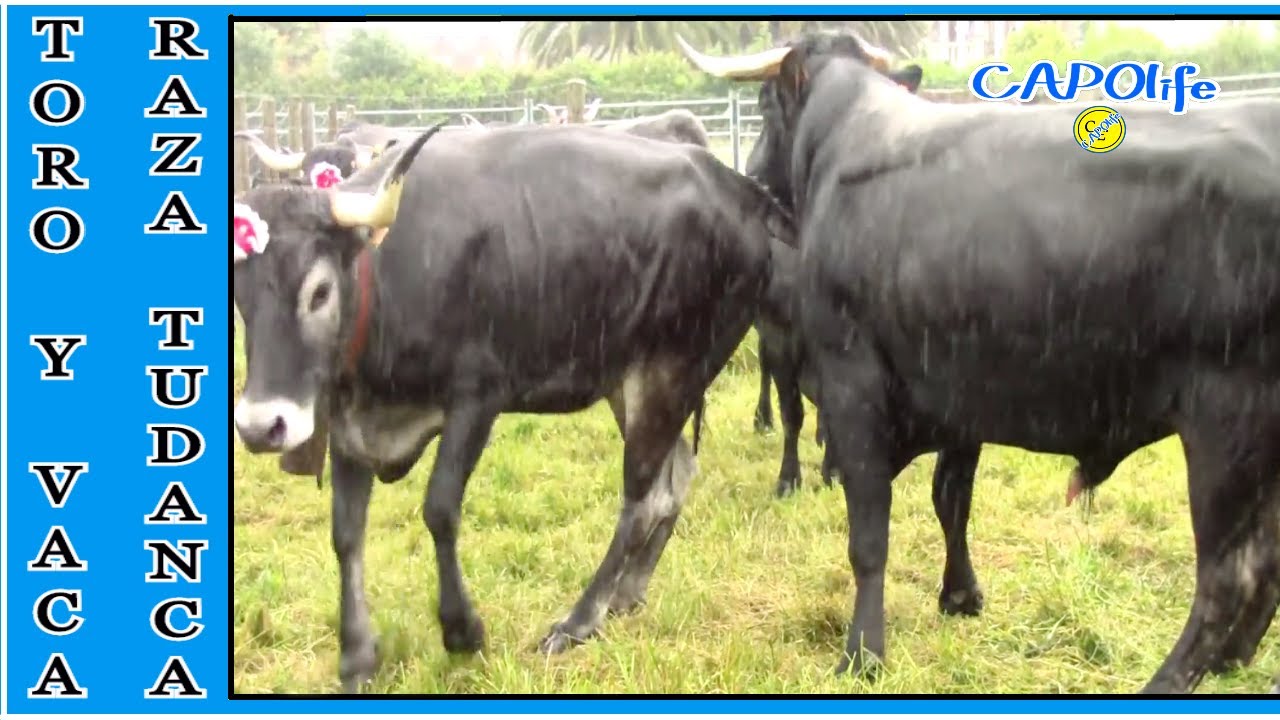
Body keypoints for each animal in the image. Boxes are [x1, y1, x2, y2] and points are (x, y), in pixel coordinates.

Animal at [231, 121, 796, 692]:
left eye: (320, 291)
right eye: (240, 296)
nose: (261, 426)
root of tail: (738, 188)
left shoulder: (477, 397)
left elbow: (439, 508)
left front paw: (462, 630)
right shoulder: (350, 426)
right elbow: (346, 534)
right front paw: (356, 657)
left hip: (670, 371)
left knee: (642, 499)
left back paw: (579, 619)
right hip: (631, 381)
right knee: (675, 475)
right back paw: (628, 590)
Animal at [679, 31, 1280, 694]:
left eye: (764, 106)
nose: (752, 177)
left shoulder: (852, 381)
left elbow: (869, 530)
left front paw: (862, 654)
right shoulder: (957, 395)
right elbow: (951, 498)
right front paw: (960, 595)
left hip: (1227, 424)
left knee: (1228, 577)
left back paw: (1166, 684)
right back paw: (1232, 659)